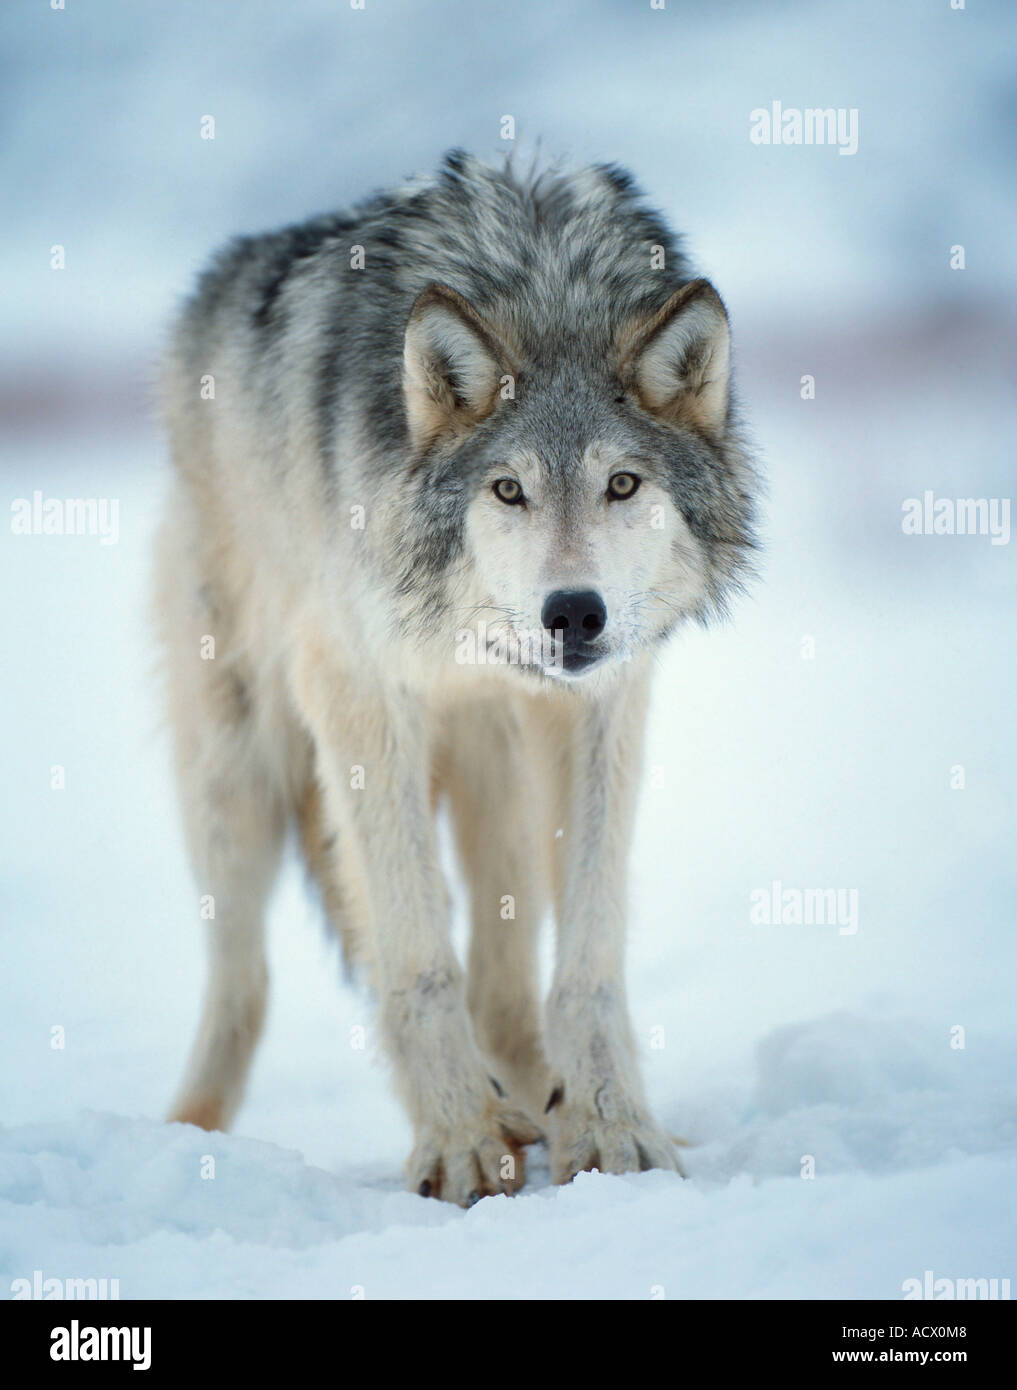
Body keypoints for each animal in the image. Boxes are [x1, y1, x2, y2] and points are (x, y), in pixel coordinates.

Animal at [156, 151, 757, 1206]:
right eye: (507, 489)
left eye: (623, 485)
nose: (573, 613)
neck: (543, 289)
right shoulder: (354, 693)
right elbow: (416, 960)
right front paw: (460, 1145)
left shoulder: (599, 709)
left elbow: (587, 962)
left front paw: (615, 1131)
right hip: (236, 772)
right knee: (245, 981)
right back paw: (187, 1141)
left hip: (495, 769)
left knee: (504, 987)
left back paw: (541, 1107)